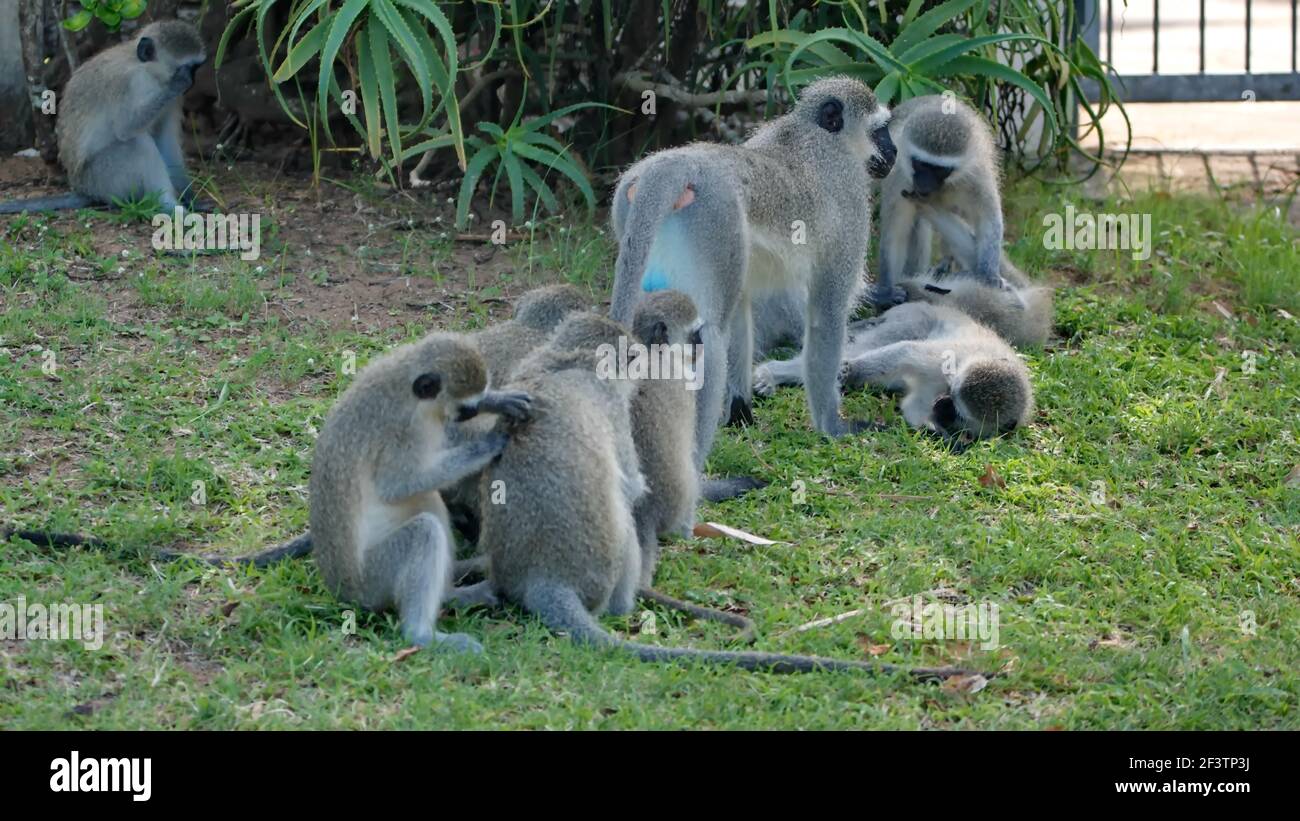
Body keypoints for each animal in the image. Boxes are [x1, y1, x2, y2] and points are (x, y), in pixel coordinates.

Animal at [0, 21, 206, 215]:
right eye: (188, 69)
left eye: (196, 68)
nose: (192, 81)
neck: (144, 69)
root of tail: (84, 190)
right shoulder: (127, 83)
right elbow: (125, 127)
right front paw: (176, 83)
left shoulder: (173, 100)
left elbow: (165, 139)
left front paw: (189, 196)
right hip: (102, 180)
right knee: (137, 143)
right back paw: (169, 206)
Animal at [308, 331, 533, 651]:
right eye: (467, 410)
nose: (473, 411)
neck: (409, 390)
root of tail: (344, 593)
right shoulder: (401, 433)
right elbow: (397, 485)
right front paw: (488, 443)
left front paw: (499, 399)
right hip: (375, 579)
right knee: (423, 530)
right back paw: (422, 634)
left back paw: (455, 589)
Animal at [609, 76, 897, 461]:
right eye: (880, 131)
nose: (894, 152)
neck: (812, 134)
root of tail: (676, 164)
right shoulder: (850, 196)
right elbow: (827, 311)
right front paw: (831, 426)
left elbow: (743, 308)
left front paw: (740, 412)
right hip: (717, 218)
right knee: (711, 335)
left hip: (632, 216)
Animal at [754, 301, 1033, 443]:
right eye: (951, 393)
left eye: (958, 412)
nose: (942, 403)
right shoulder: (950, 356)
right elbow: (905, 351)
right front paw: (851, 371)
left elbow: (914, 404)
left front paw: (932, 427)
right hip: (912, 316)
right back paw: (772, 373)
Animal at [871, 93, 1005, 309]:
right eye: (920, 164)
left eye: (940, 170)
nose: (924, 185)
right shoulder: (900, 176)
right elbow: (896, 234)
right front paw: (888, 292)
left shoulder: (976, 175)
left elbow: (988, 219)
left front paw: (989, 275)